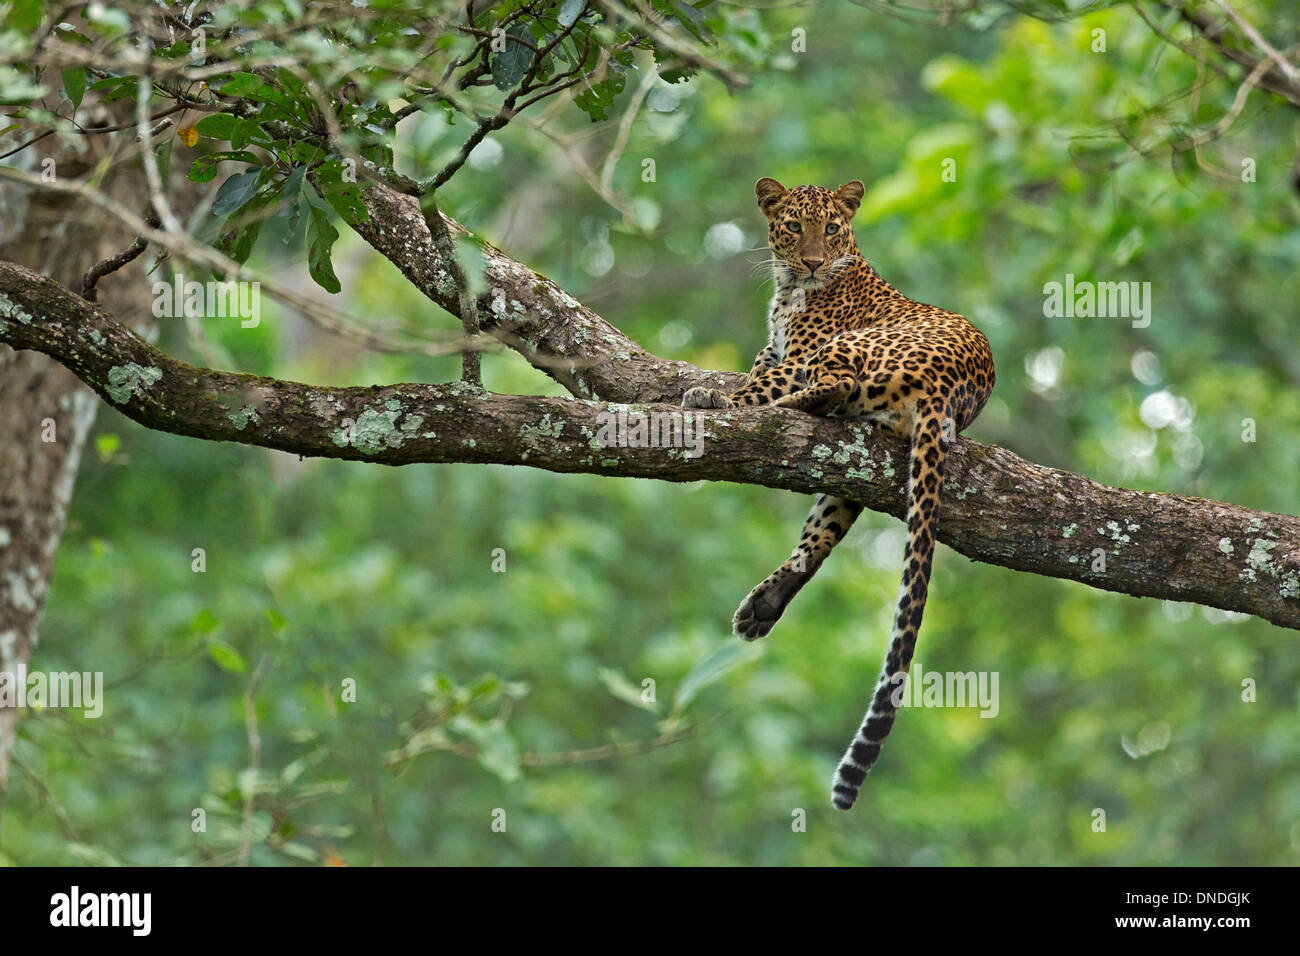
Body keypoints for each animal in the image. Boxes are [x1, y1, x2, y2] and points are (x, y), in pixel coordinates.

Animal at [683, 177, 996, 810]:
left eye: (831, 229)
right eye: (794, 226)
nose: (812, 261)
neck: (789, 291)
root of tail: (951, 387)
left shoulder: (799, 354)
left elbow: (760, 382)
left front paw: (716, 394)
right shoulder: (779, 350)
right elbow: (761, 365)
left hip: (852, 352)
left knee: (827, 387)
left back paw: (746, 404)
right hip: (857, 465)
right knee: (820, 535)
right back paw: (764, 605)